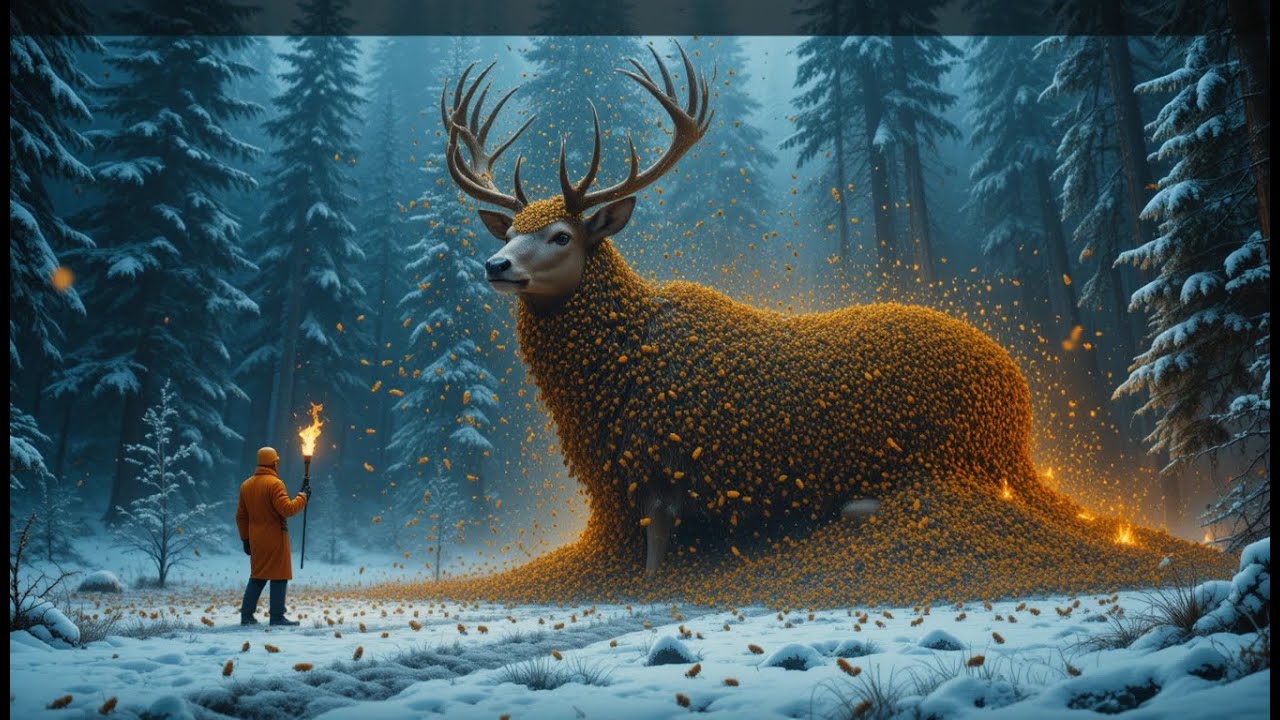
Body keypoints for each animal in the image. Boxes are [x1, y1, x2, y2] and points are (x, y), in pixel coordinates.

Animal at [440, 42, 1040, 574]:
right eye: (510, 232)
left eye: (562, 236)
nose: (495, 265)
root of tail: (1019, 390)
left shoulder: (665, 465)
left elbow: (654, 564)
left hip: (953, 454)